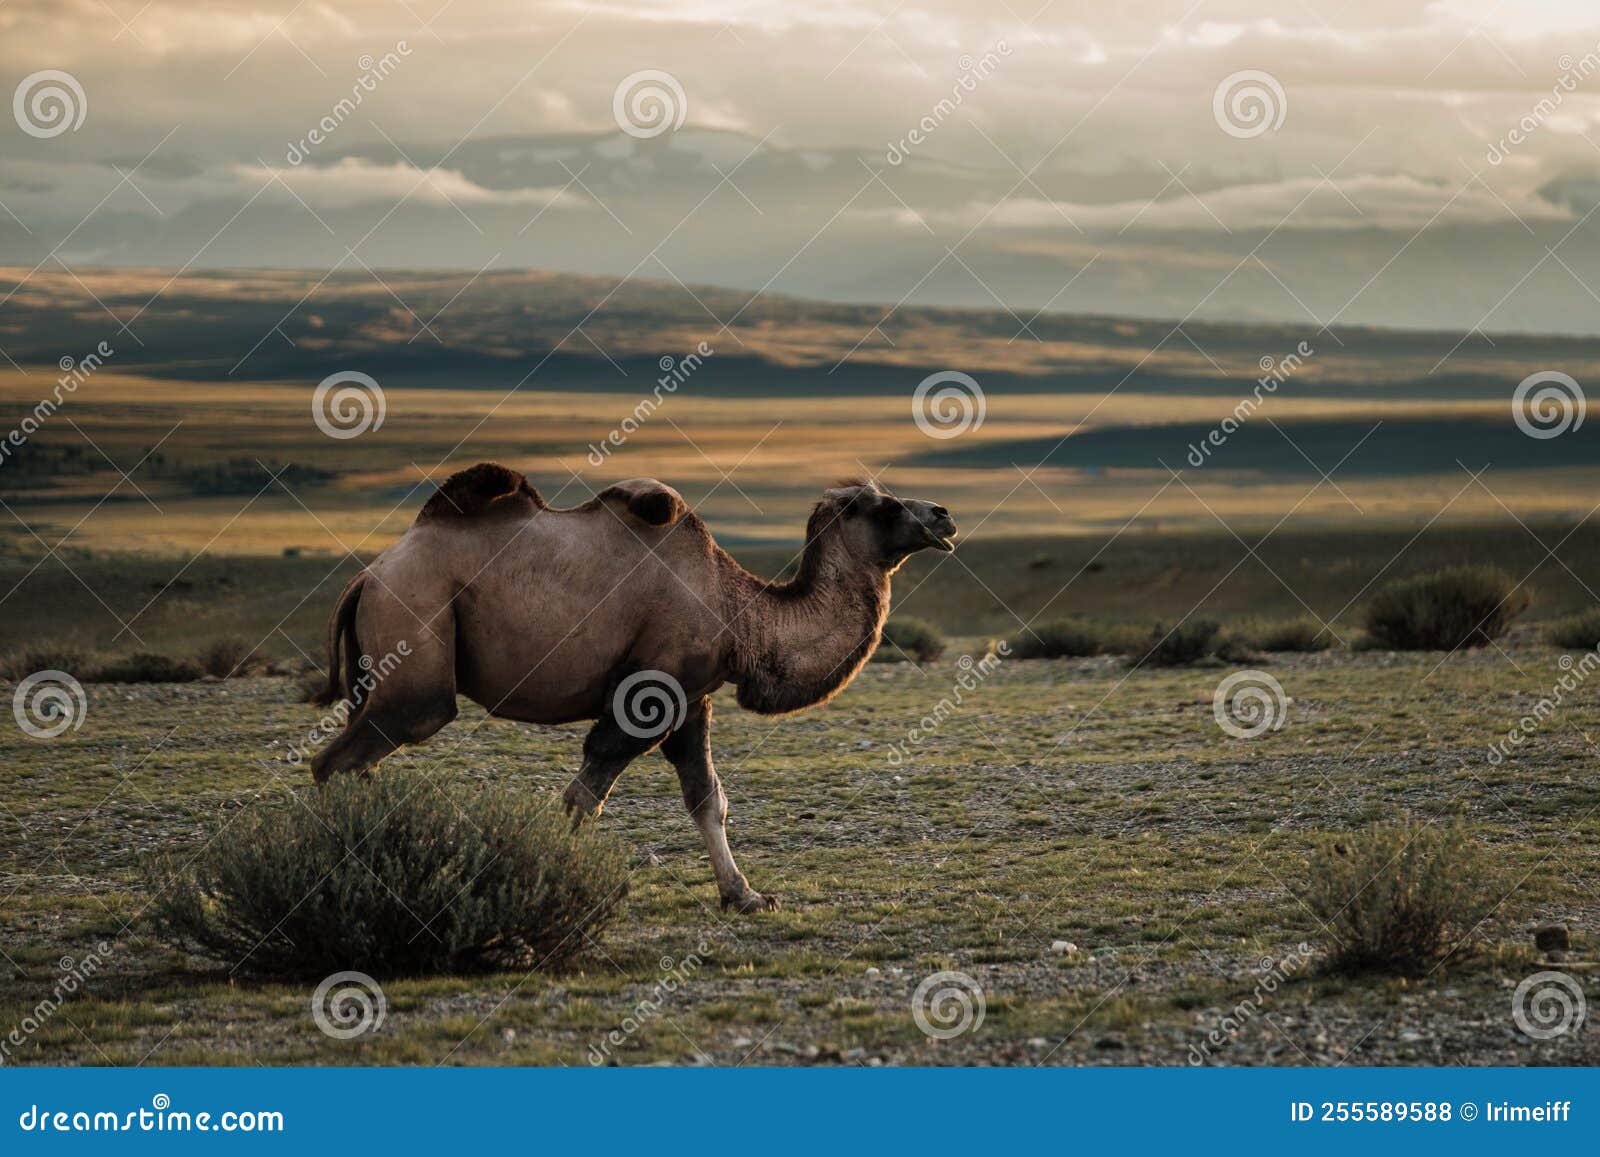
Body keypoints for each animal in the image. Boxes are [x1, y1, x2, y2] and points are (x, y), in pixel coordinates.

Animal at [310, 463, 957, 912]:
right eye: (885, 505)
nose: (943, 514)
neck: (737, 611)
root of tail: (367, 577)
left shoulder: (693, 699)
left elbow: (707, 798)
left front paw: (746, 896)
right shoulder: (648, 694)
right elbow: (585, 795)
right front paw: (563, 881)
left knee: (358, 762)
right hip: (417, 644)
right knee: (341, 759)